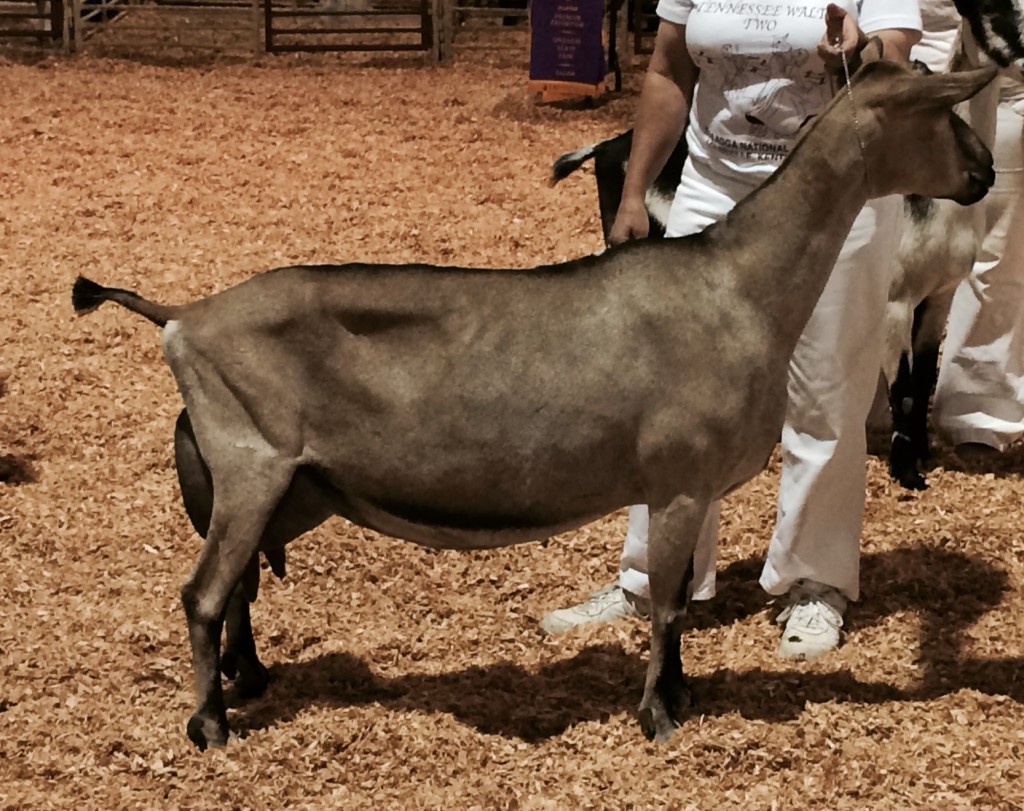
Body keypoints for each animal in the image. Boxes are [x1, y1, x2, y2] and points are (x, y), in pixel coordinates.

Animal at [73, 50, 995, 750]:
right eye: (944, 113)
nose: (987, 173)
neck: (737, 285)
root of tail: (181, 317)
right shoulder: (678, 482)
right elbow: (666, 606)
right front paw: (660, 713)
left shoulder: (688, 488)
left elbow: (673, 607)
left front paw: (680, 697)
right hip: (249, 461)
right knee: (202, 593)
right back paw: (210, 724)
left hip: (296, 483)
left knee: (234, 590)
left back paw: (252, 678)